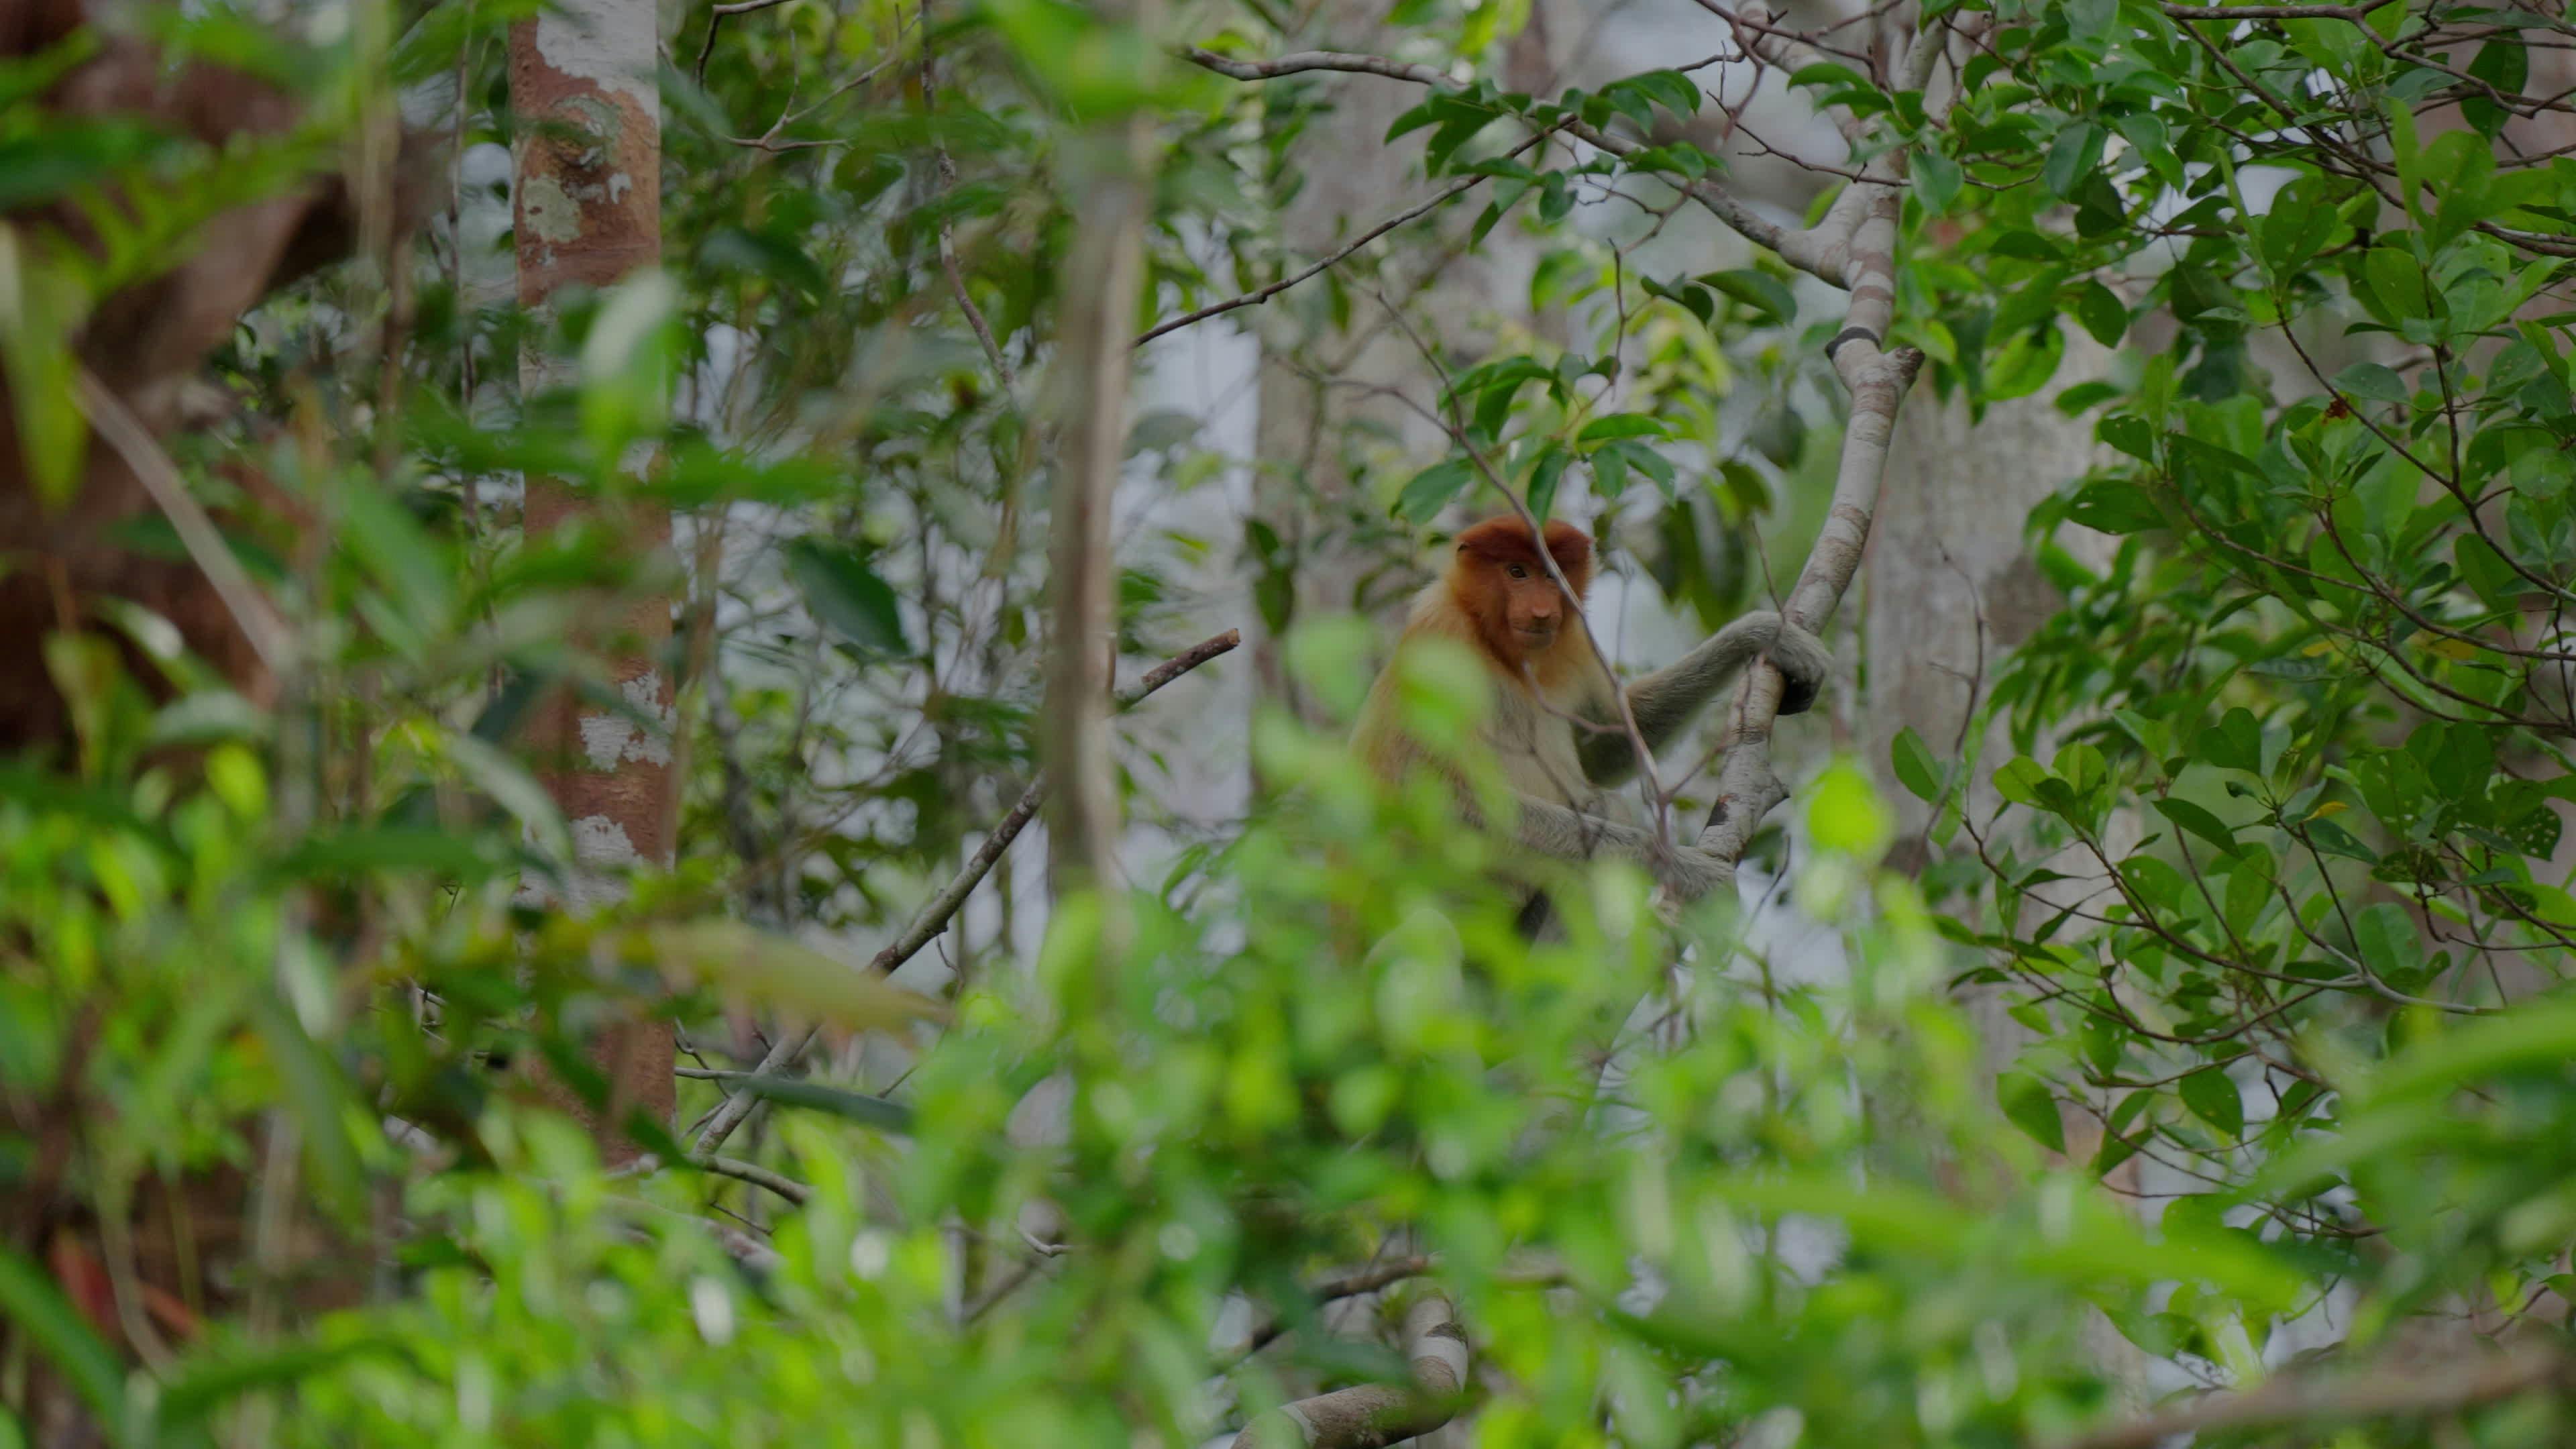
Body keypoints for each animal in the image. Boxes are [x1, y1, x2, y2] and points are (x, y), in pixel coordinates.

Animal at [1351, 515, 1831, 917]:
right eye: (1516, 572)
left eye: (1552, 575)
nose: (1542, 611)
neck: (1503, 652)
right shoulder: (1441, 635)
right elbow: (1447, 800)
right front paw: (1696, 873)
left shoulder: (1574, 638)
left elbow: (1608, 746)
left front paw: (1764, 634)